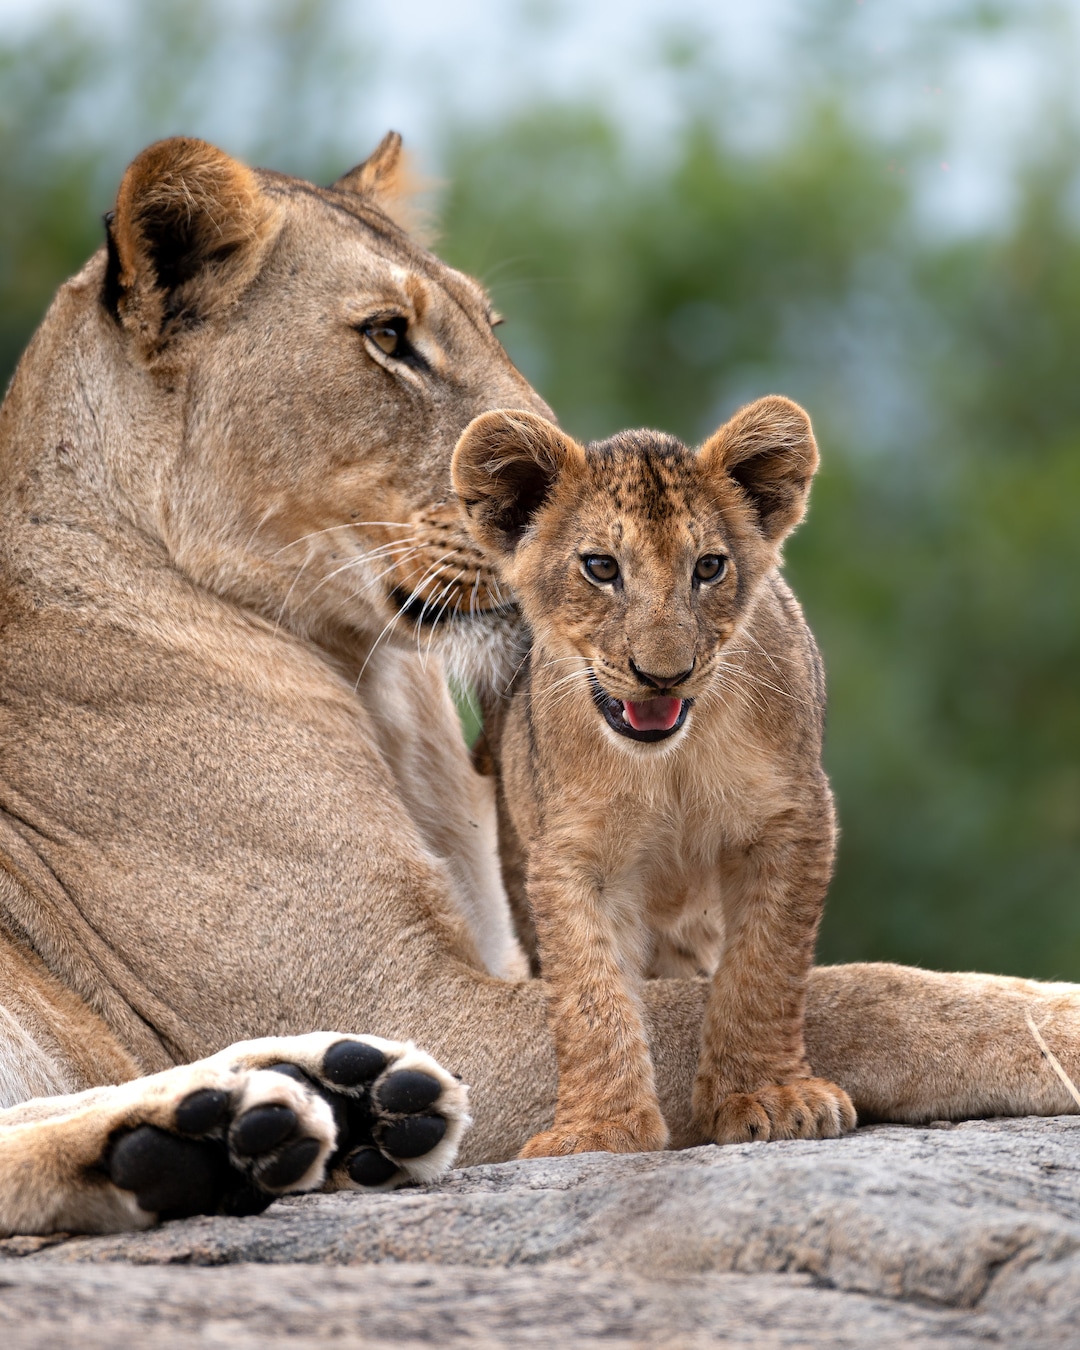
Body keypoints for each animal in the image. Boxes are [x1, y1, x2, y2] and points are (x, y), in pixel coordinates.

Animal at [452, 401, 854, 1157]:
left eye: (709, 567)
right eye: (601, 567)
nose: (662, 675)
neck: (668, 764)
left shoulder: (790, 818)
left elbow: (764, 966)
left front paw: (767, 1095)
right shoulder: (570, 852)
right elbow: (590, 993)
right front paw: (598, 1129)